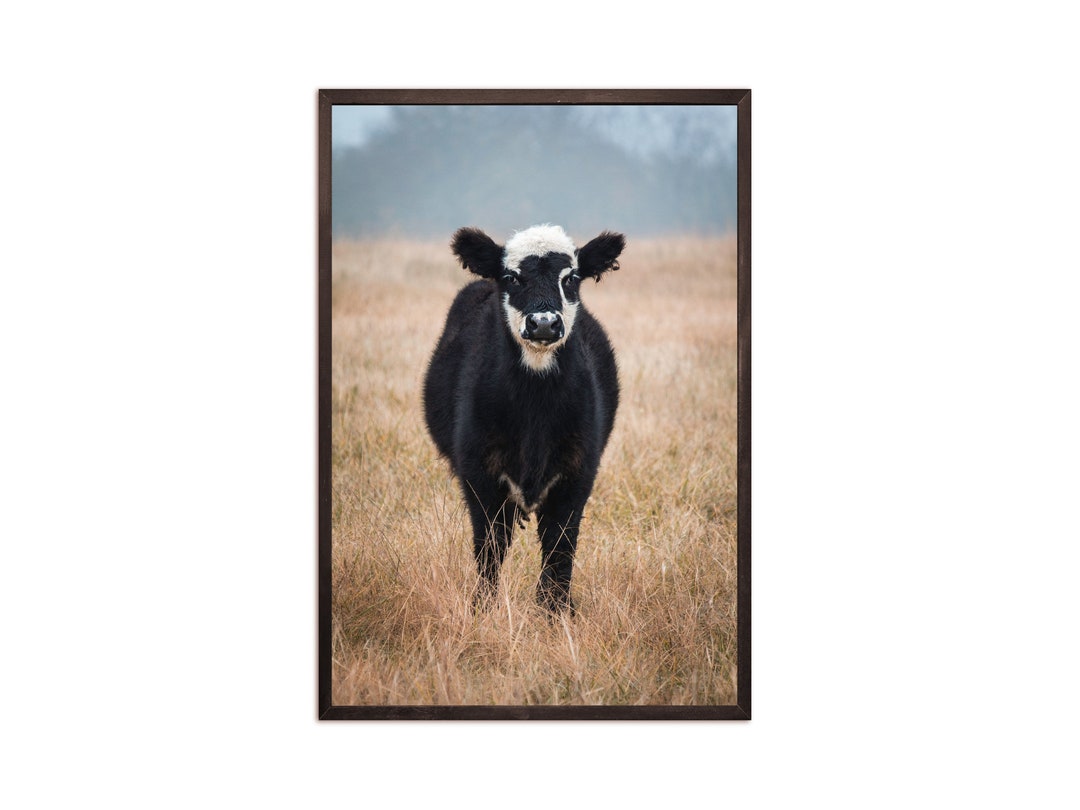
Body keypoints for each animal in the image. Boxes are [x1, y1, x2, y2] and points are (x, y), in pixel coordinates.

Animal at [423, 224, 625, 613]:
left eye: (571, 278)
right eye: (511, 277)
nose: (543, 323)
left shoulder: (577, 474)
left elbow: (560, 547)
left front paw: (556, 611)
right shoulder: (479, 475)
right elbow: (490, 545)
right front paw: (483, 608)